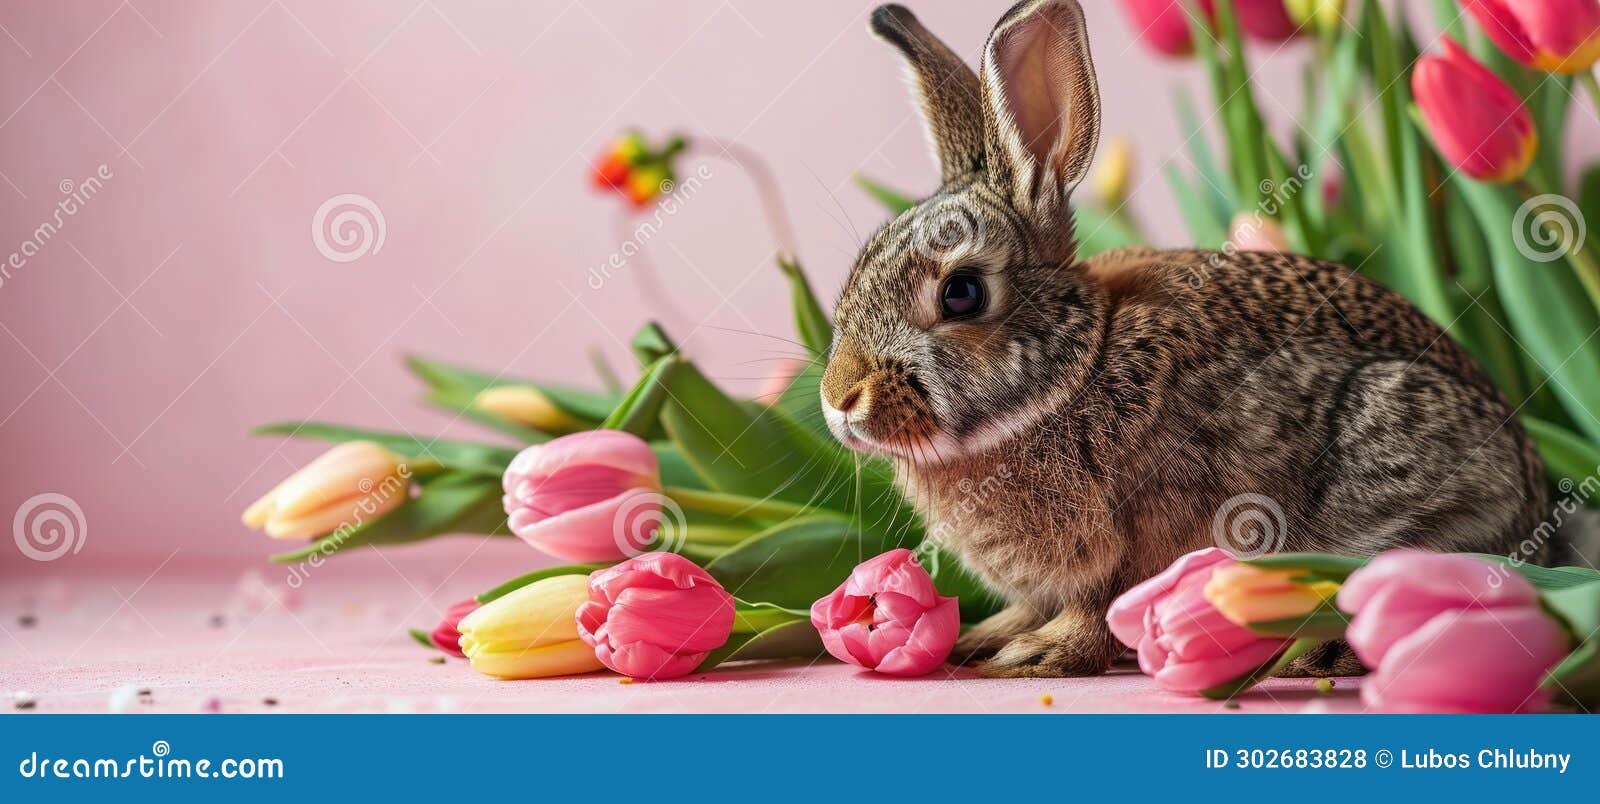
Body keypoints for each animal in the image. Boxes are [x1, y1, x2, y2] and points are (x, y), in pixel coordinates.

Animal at [818, 0, 1553, 678]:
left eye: (962, 293)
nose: (838, 398)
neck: (1073, 371)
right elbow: (1035, 605)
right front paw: (987, 636)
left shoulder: (1137, 542)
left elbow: (1100, 608)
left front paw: (1038, 655)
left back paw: (1315, 654)